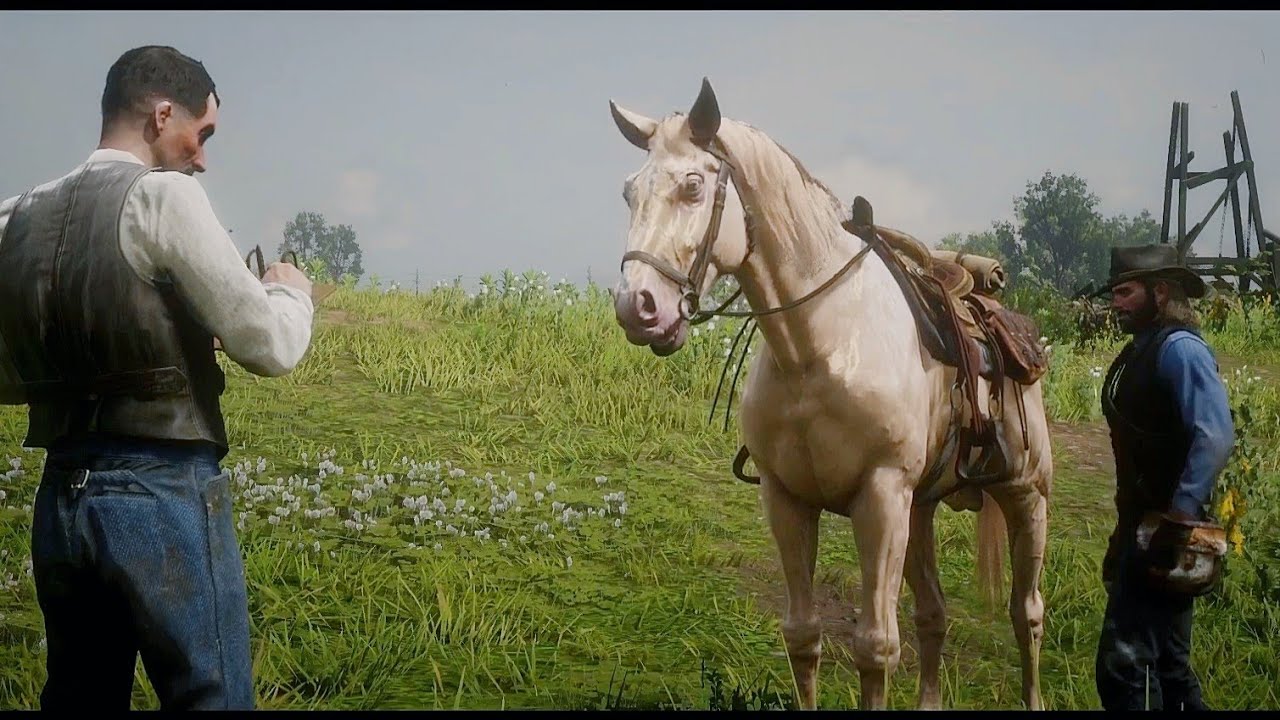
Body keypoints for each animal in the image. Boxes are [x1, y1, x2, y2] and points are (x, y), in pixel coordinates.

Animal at [607, 78, 1053, 710]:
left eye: (693, 185)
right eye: (630, 192)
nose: (637, 307)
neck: (818, 349)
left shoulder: (881, 497)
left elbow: (875, 647)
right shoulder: (789, 500)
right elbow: (802, 634)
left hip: (1025, 497)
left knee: (1026, 614)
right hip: (922, 509)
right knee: (933, 616)